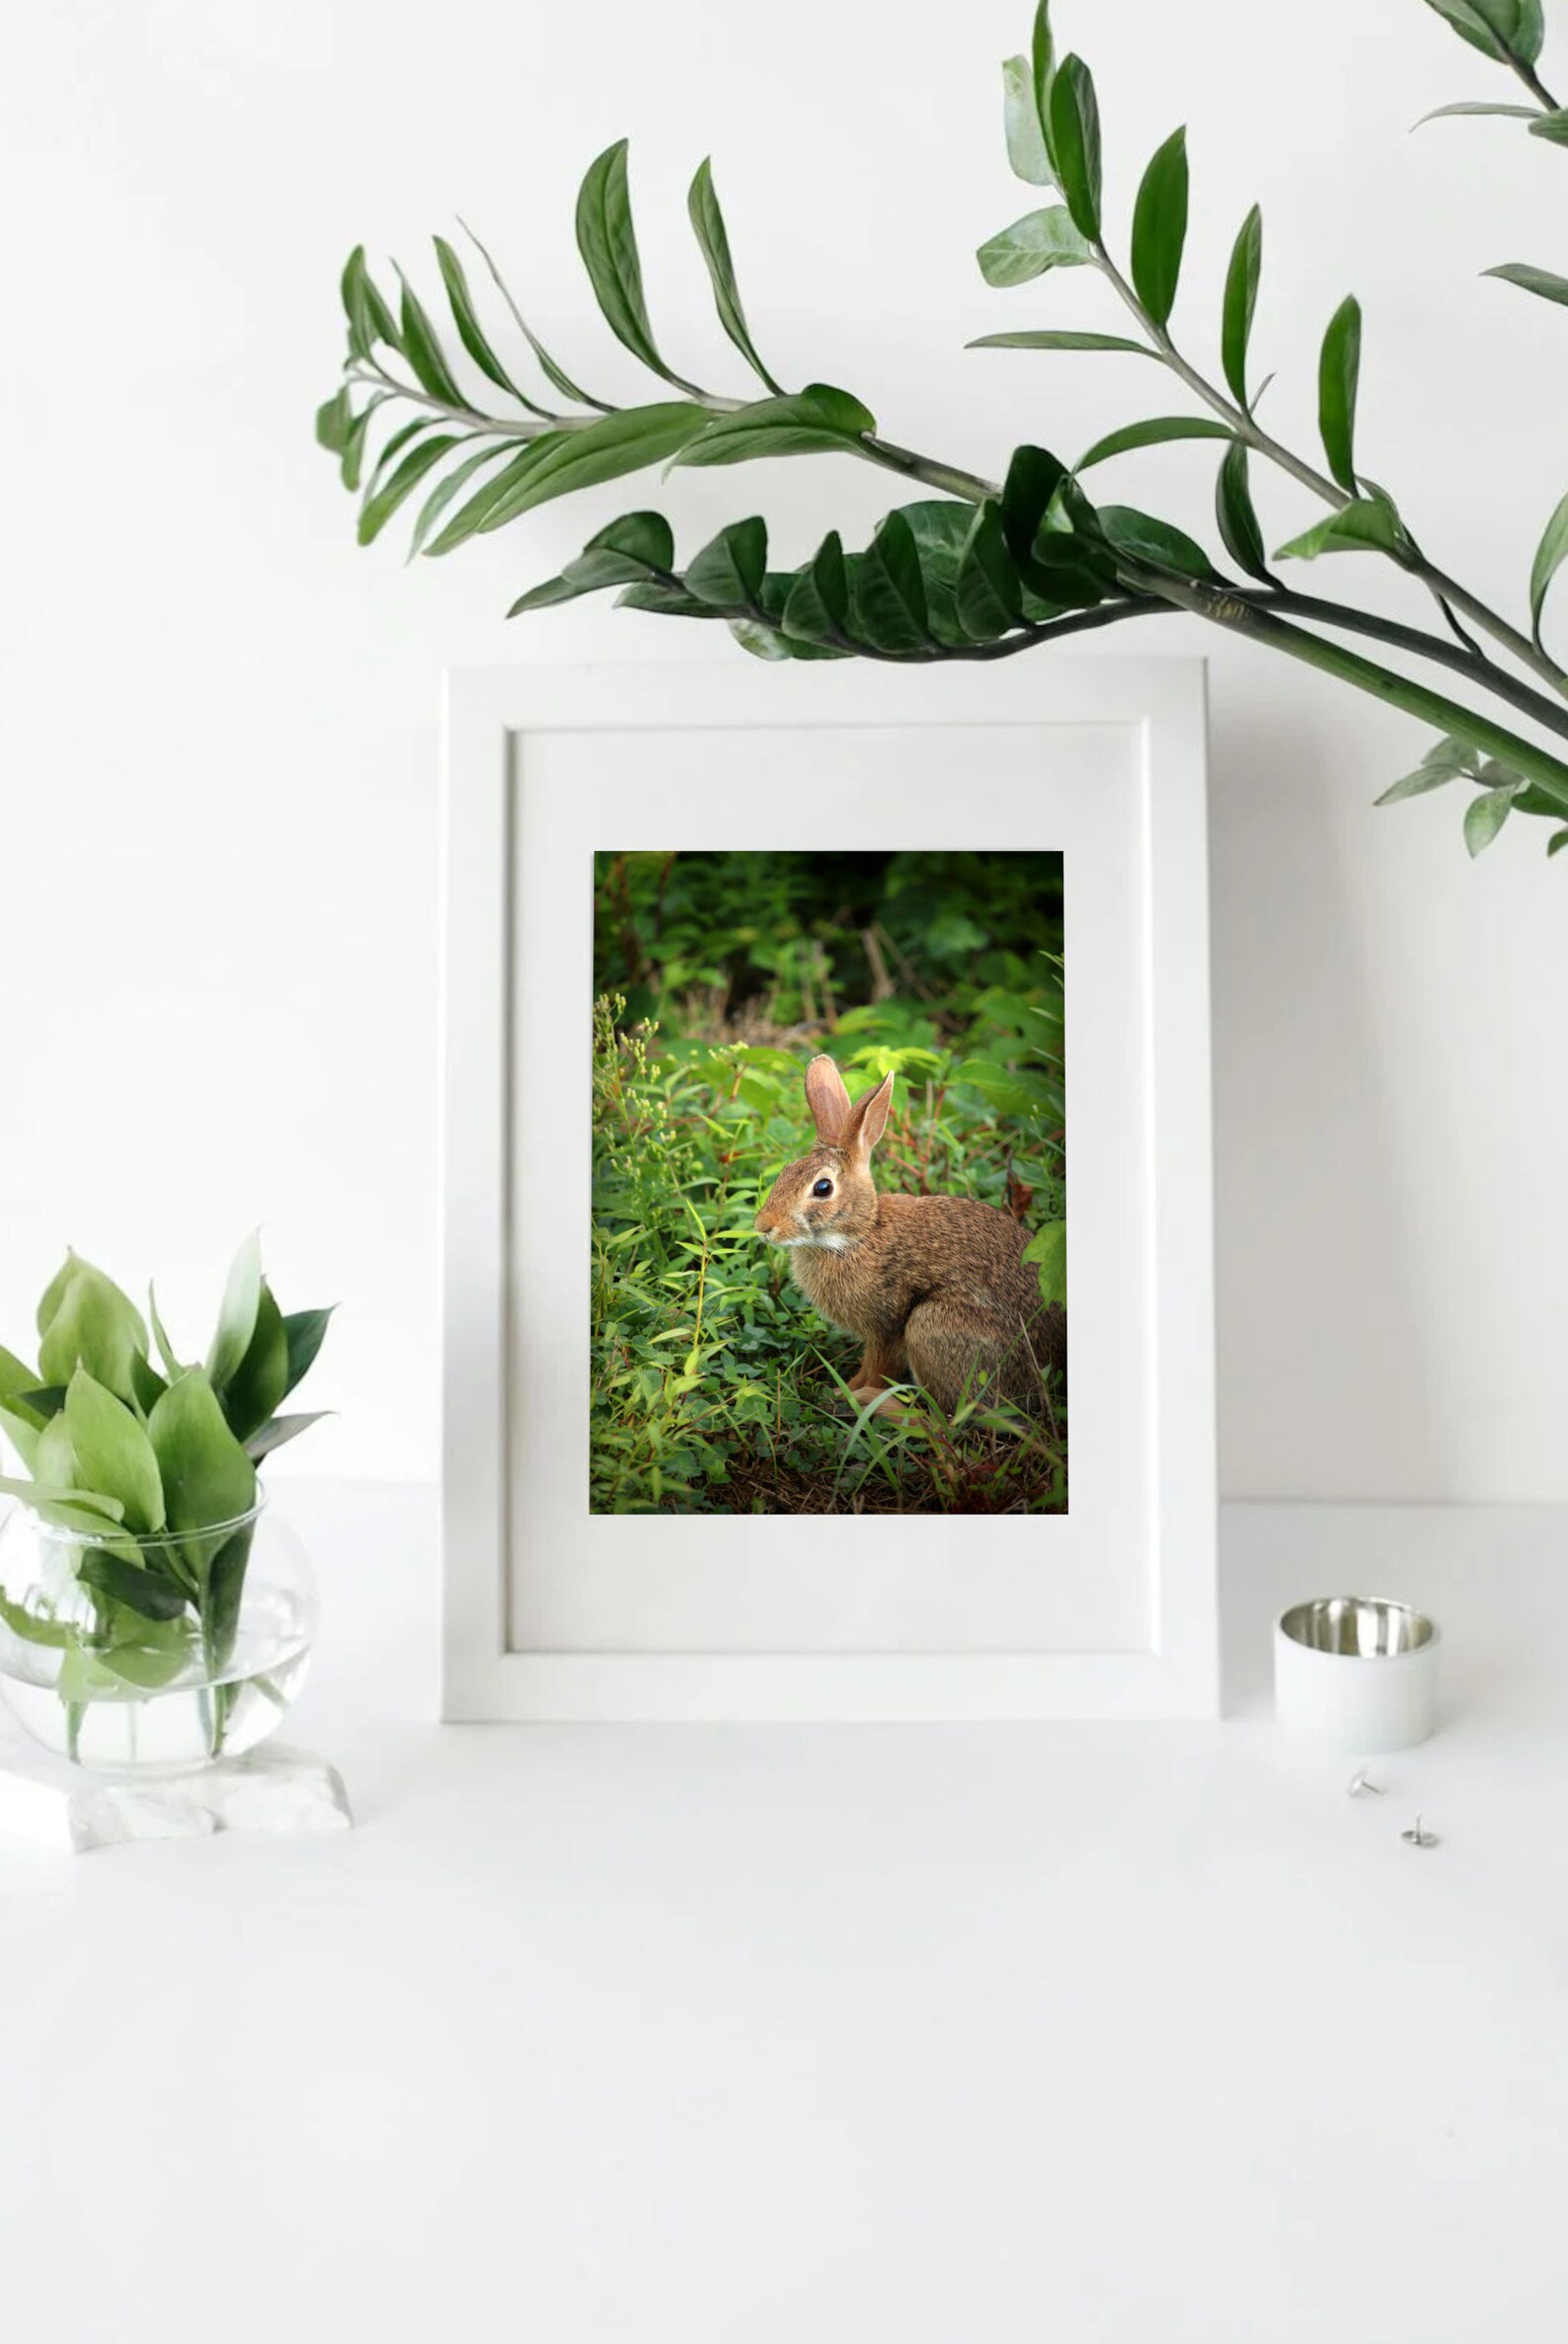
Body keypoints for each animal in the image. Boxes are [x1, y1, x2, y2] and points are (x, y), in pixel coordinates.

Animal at [754, 1053, 1067, 1419]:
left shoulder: (887, 1329)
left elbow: (877, 1368)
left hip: (929, 1327)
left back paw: (878, 1405)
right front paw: (840, 1388)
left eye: (823, 1188)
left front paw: (846, 1391)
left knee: (950, 1417)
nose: (763, 1226)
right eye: (786, 1172)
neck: (858, 1236)